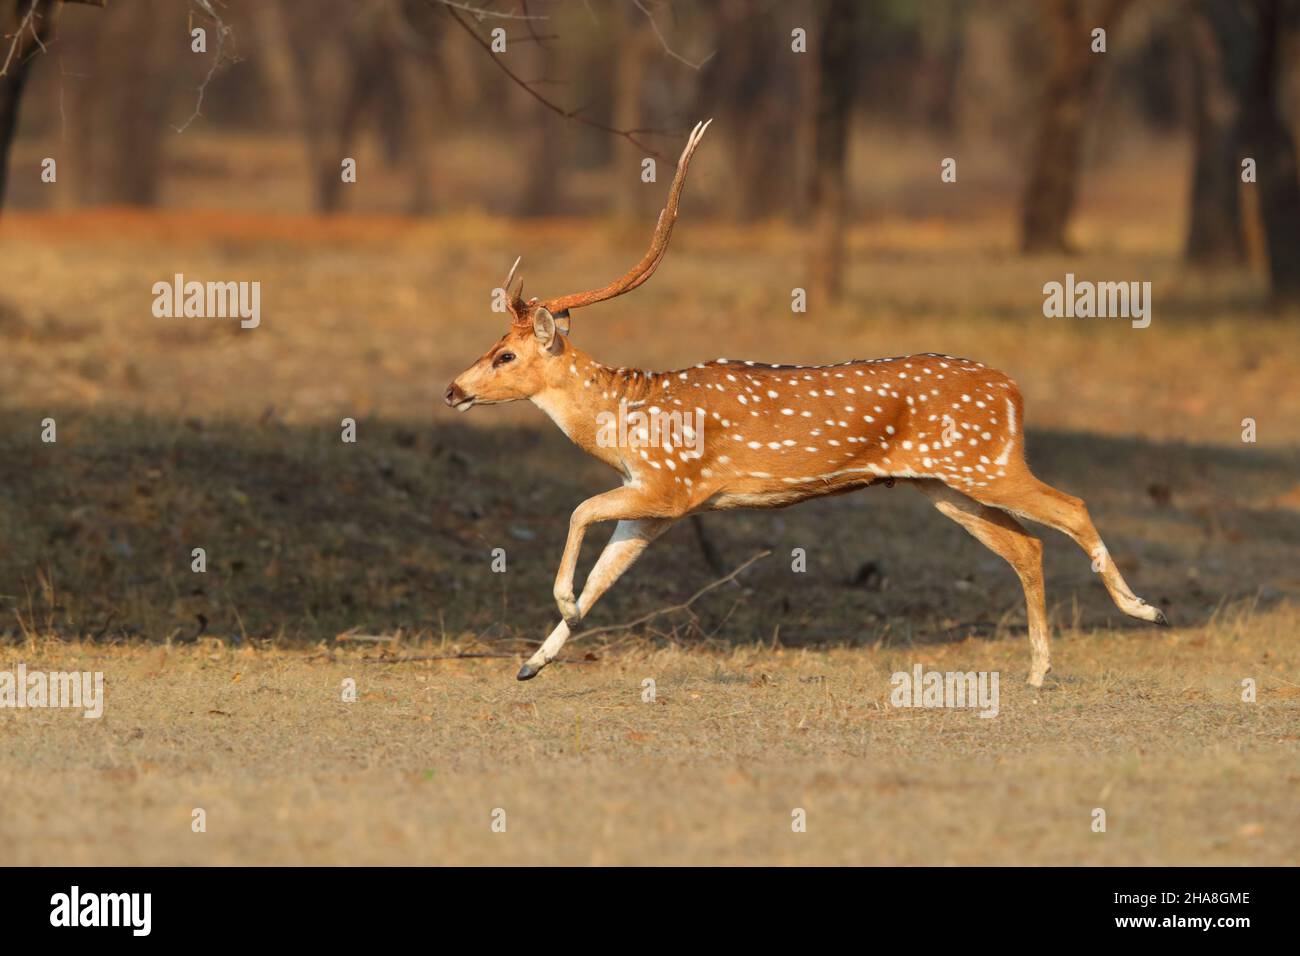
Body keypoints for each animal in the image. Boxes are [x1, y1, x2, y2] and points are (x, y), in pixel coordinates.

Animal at [443, 120, 1168, 687]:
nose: (453, 389)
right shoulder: (659, 506)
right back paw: (1040, 669)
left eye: (504, 354)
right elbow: (604, 576)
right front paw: (532, 662)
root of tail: (1015, 392)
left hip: (985, 463)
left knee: (1071, 507)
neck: (628, 416)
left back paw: (1145, 611)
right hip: (943, 483)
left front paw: (558, 611)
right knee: (1026, 545)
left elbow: (578, 511)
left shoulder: (672, 487)